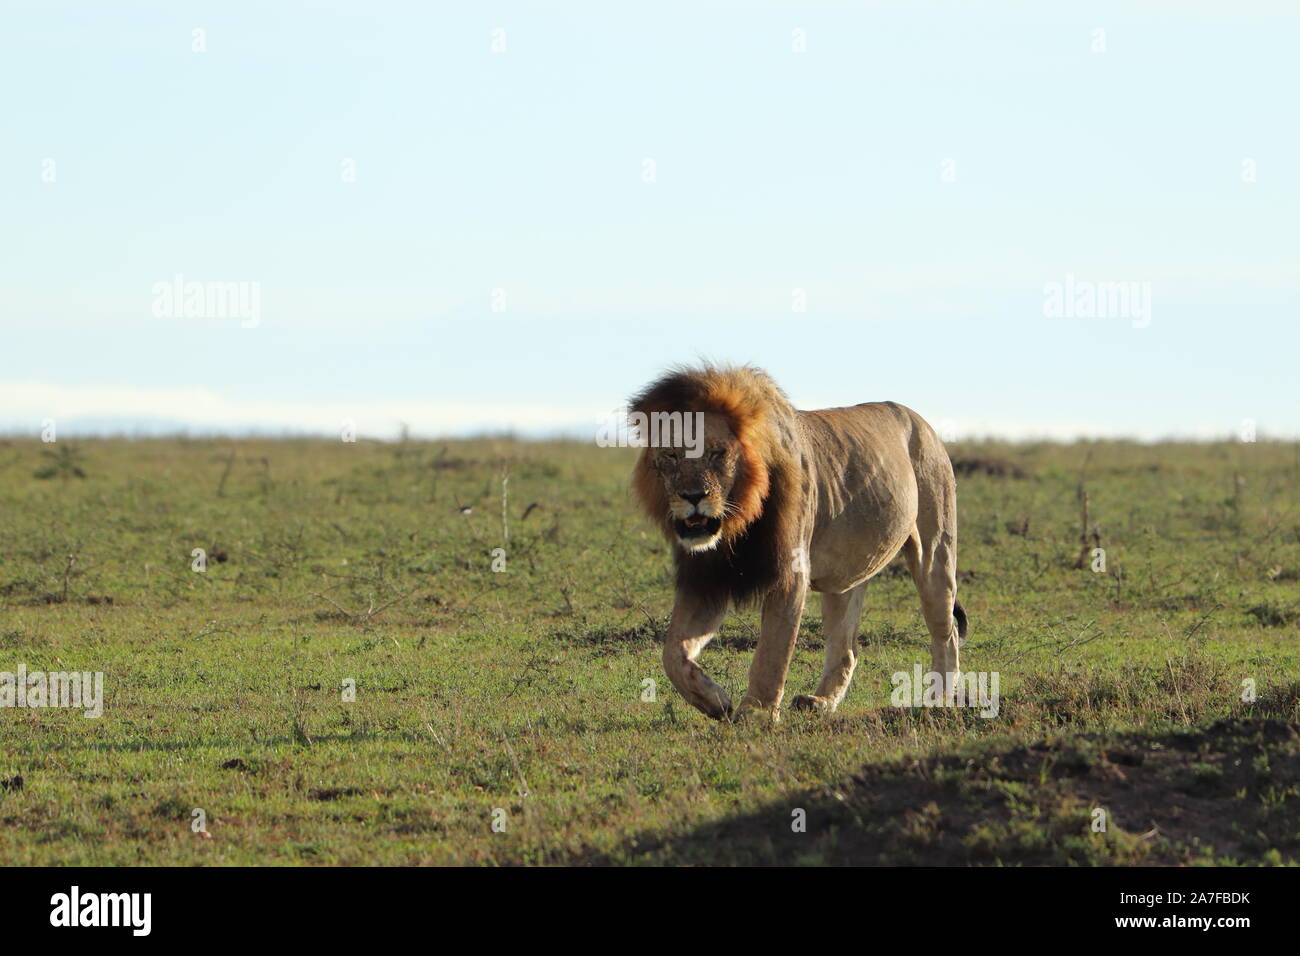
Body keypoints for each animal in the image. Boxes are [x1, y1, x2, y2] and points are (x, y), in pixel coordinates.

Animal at [630, 363, 968, 721]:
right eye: (671, 455)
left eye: (717, 453)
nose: (693, 496)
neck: (738, 520)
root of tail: (921, 421)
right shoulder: (706, 576)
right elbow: (672, 653)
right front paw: (714, 700)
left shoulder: (790, 572)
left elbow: (772, 652)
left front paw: (756, 714)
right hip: (846, 577)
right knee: (846, 648)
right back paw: (820, 702)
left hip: (935, 552)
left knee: (946, 632)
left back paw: (937, 699)